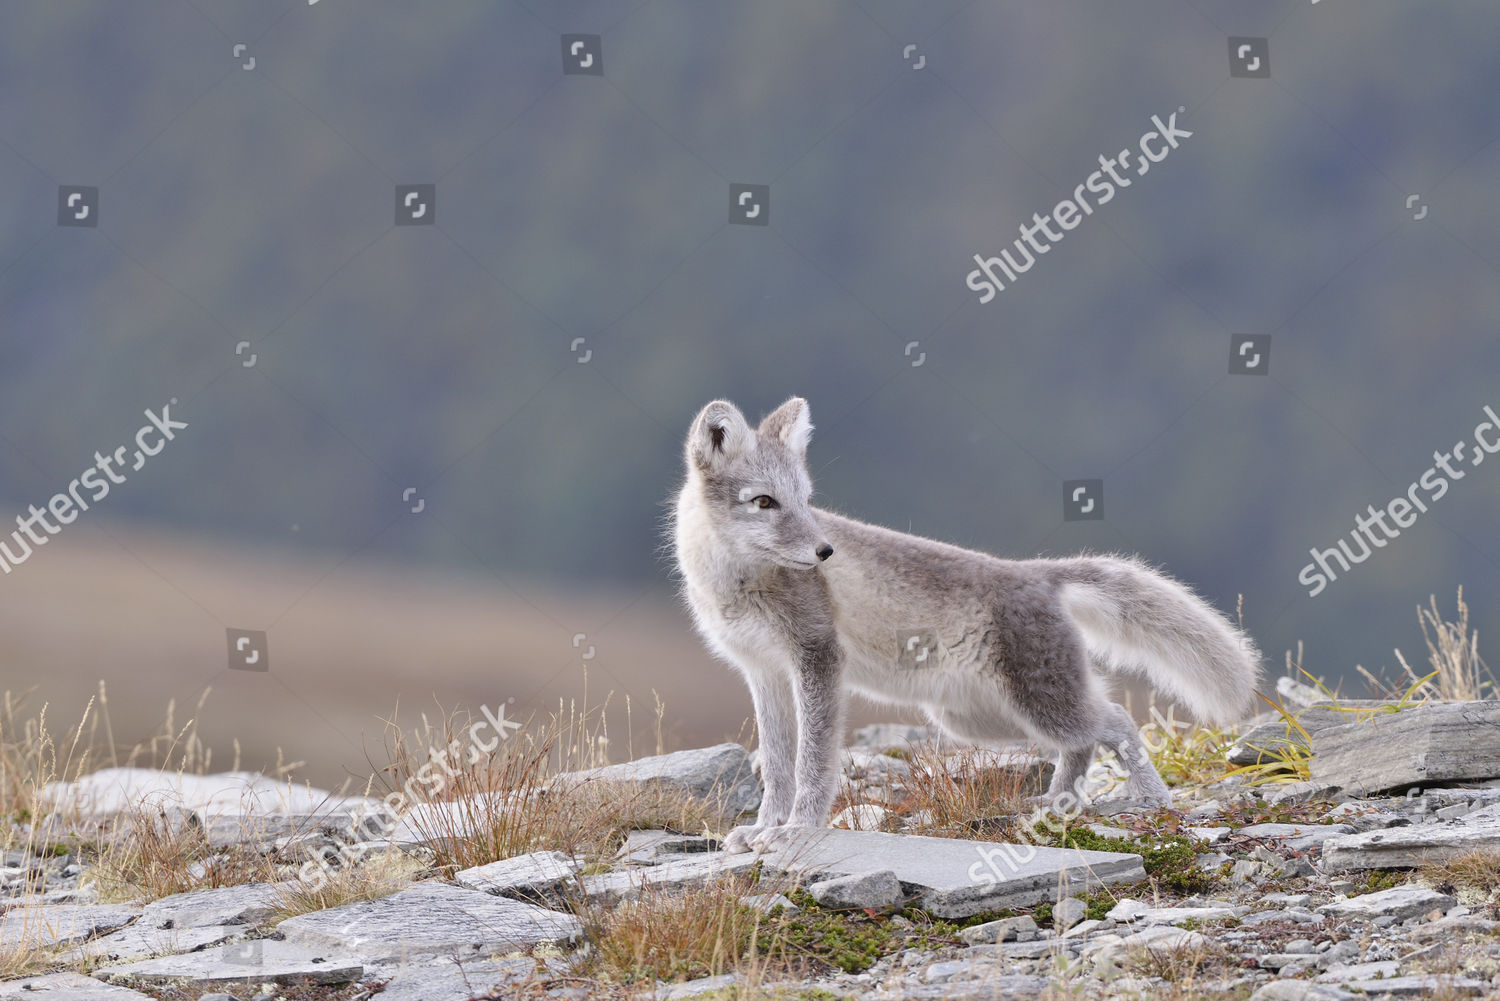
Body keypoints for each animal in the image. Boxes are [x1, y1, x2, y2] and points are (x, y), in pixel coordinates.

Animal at [672, 396, 1263, 854]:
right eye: (764, 501)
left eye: (806, 500)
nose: (824, 552)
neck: (734, 583)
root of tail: (1036, 573)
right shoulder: (763, 671)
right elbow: (776, 765)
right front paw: (762, 828)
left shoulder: (817, 658)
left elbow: (812, 762)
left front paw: (797, 829)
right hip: (979, 718)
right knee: (1084, 741)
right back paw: (1056, 801)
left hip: (1038, 704)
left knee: (1115, 720)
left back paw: (1152, 799)